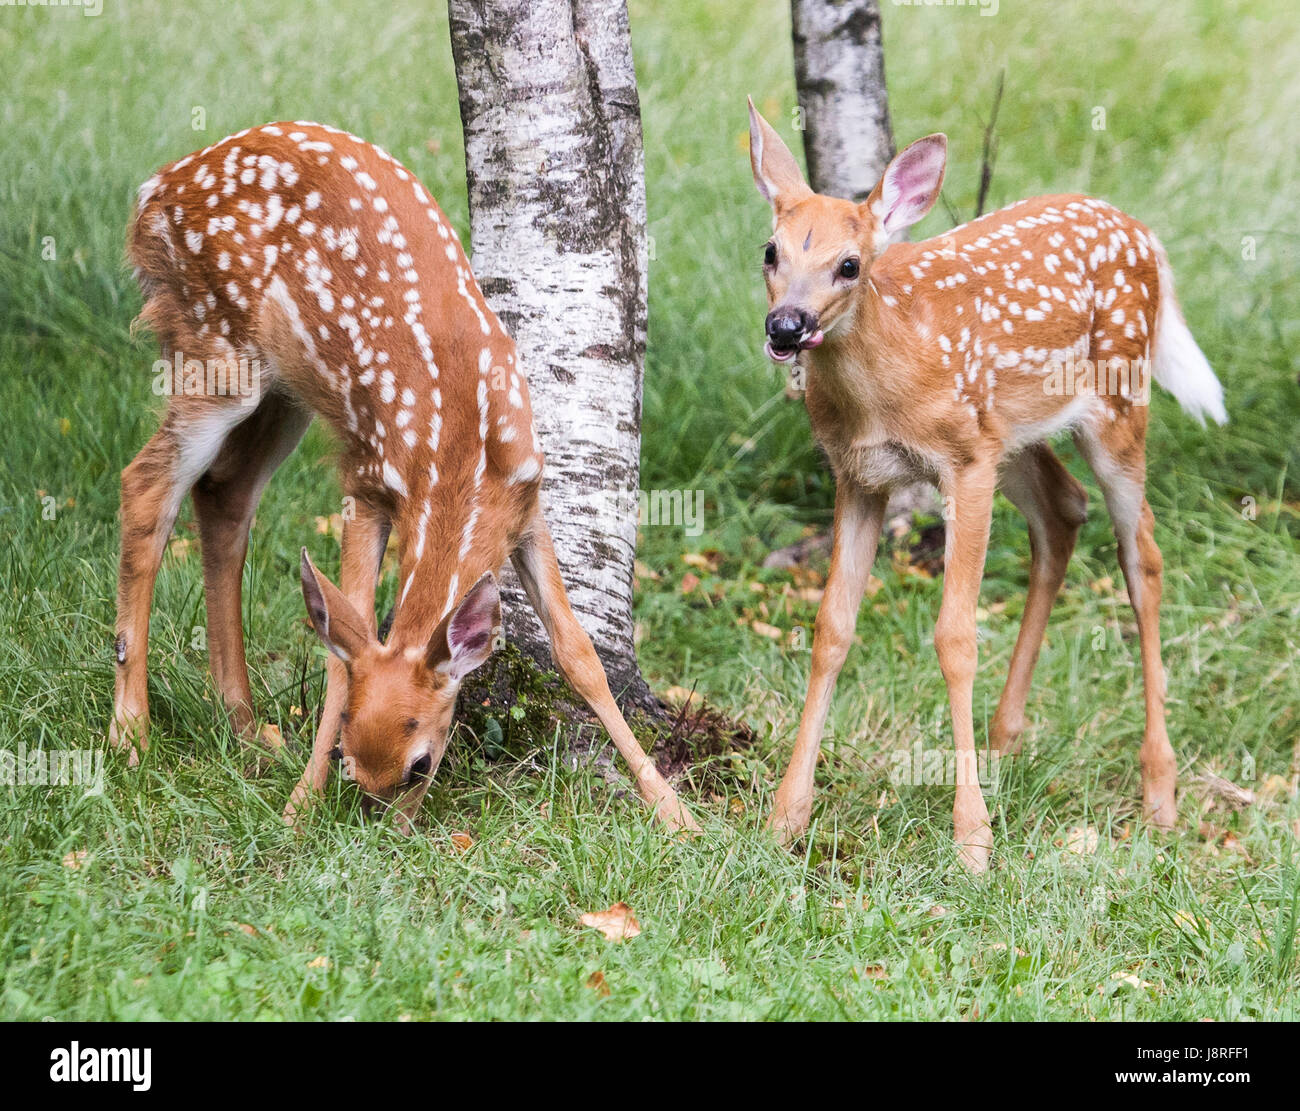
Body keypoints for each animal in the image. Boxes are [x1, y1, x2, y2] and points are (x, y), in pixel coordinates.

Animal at [112, 121, 696, 834]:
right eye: (348, 759)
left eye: (421, 766)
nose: (390, 834)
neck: (457, 463)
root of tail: (154, 189)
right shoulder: (366, 482)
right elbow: (344, 655)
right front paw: (298, 808)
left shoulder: (528, 499)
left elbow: (578, 653)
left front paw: (677, 814)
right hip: (212, 346)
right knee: (146, 485)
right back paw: (131, 735)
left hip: (280, 392)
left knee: (223, 495)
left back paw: (247, 727)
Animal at [746, 99, 1226, 871]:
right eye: (771, 252)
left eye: (849, 264)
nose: (787, 326)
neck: (889, 381)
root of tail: (1146, 235)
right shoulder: (860, 475)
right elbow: (831, 629)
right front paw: (785, 818)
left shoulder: (963, 461)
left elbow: (956, 636)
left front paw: (972, 838)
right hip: (1014, 434)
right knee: (1064, 511)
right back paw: (1005, 742)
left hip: (1117, 404)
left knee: (1143, 553)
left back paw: (1160, 793)